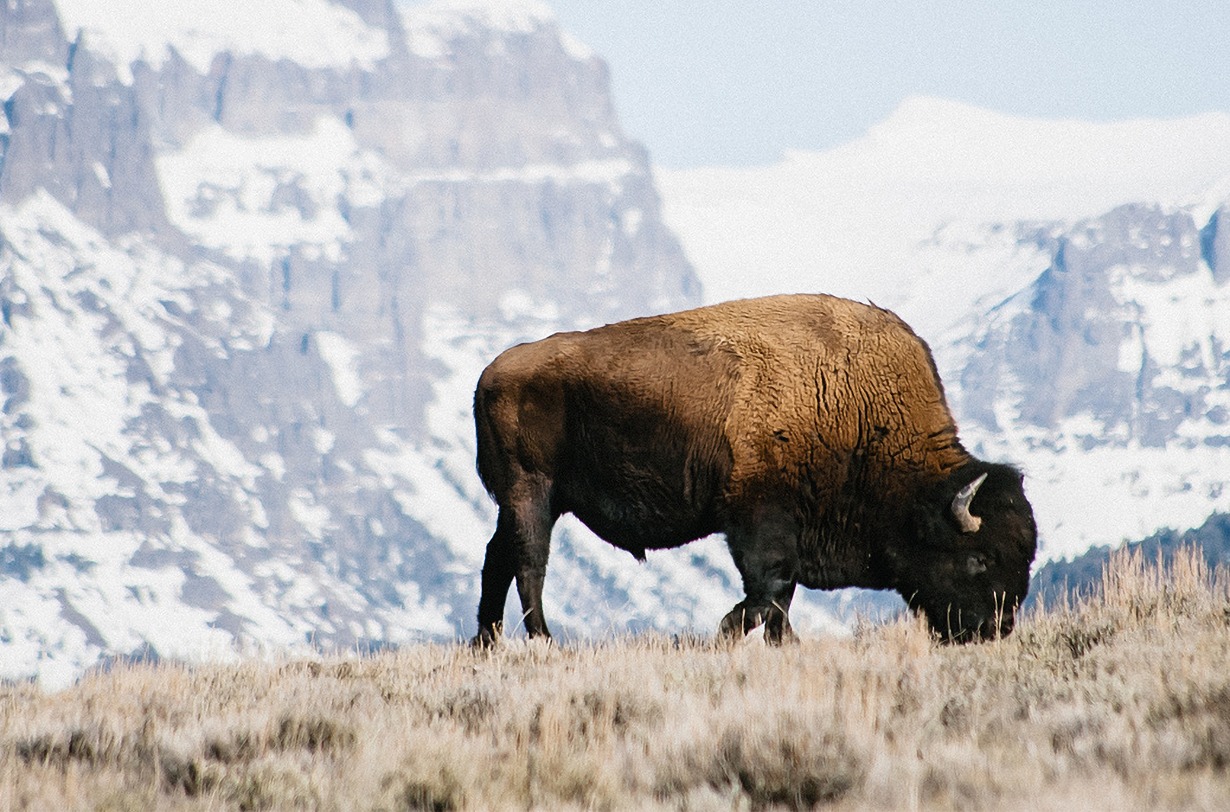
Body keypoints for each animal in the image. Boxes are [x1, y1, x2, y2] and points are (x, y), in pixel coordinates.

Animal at [471, 294, 1037, 645]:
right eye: (979, 558)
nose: (996, 628)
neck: (854, 406)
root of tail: (491, 373)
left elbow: (781, 597)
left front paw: (782, 643)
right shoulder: (760, 520)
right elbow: (769, 589)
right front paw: (728, 630)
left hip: (529, 501)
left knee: (498, 558)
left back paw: (487, 642)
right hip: (532, 493)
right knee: (529, 561)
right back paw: (545, 641)